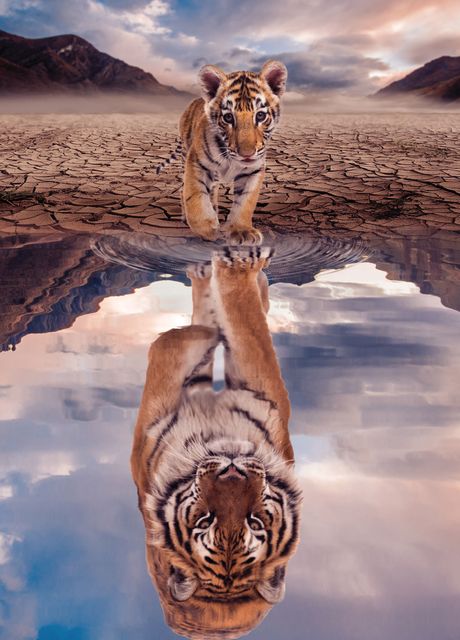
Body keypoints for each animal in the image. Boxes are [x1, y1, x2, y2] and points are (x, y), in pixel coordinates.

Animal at [131, 247, 302, 640]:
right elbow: (236, 324)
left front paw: (236, 272)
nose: (233, 472)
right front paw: (237, 271)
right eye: (203, 523)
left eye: (256, 524)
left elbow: (239, 324)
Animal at [177, 60, 288, 245]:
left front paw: (241, 230)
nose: (247, 154)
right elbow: (195, 195)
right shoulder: (197, 162)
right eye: (228, 117)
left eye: (260, 116)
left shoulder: (253, 170)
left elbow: (245, 202)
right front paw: (207, 229)